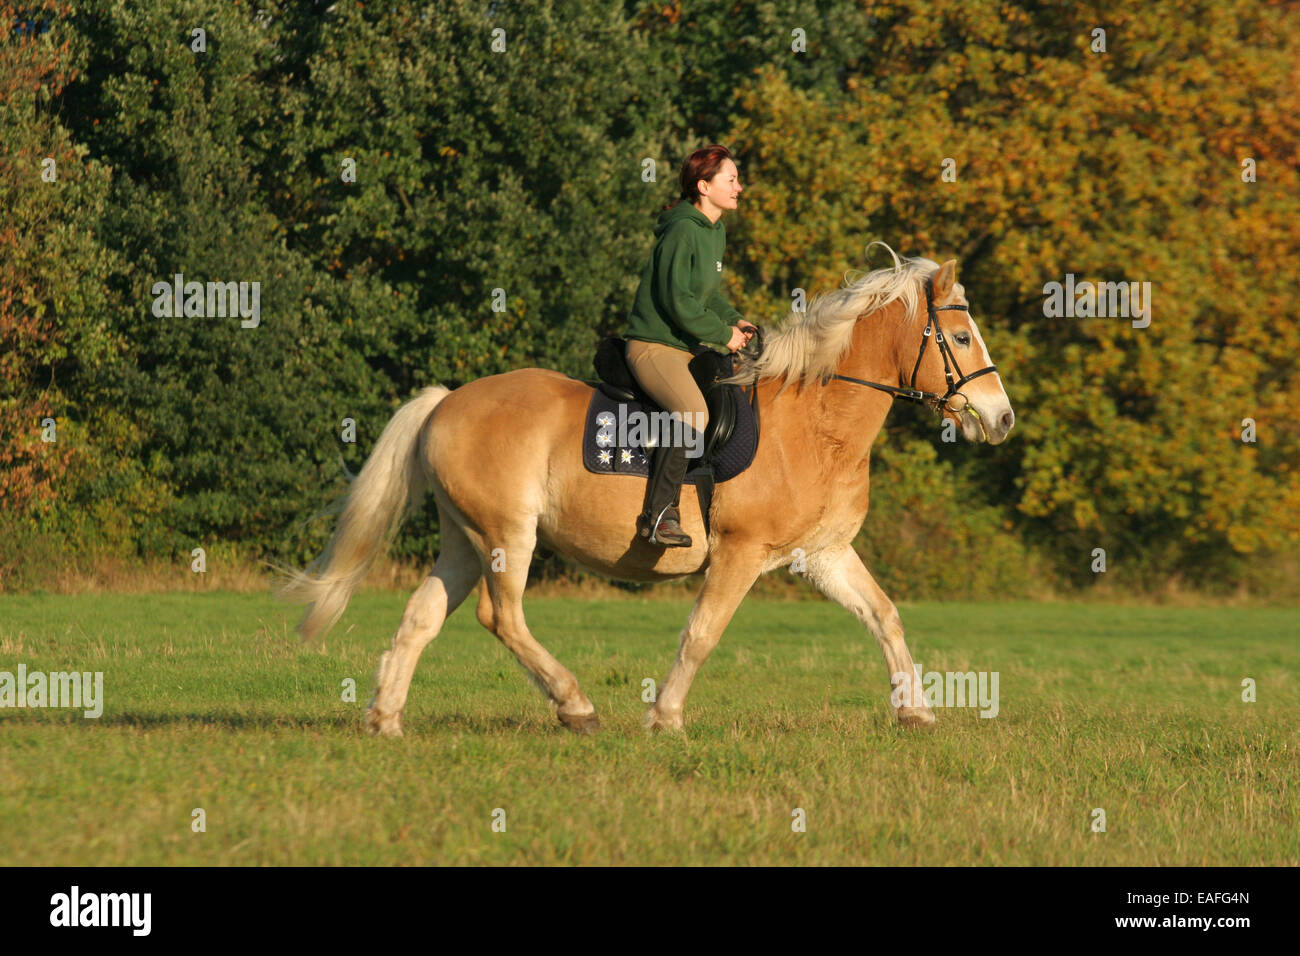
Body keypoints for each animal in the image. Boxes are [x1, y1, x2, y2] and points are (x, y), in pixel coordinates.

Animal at [275, 247, 1015, 736]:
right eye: (959, 336)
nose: (1002, 418)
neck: (816, 420)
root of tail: (445, 404)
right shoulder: (740, 555)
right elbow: (702, 634)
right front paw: (665, 717)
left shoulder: (824, 556)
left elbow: (884, 616)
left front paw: (915, 710)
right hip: (506, 536)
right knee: (501, 617)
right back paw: (575, 707)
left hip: (464, 539)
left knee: (421, 618)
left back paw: (385, 719)